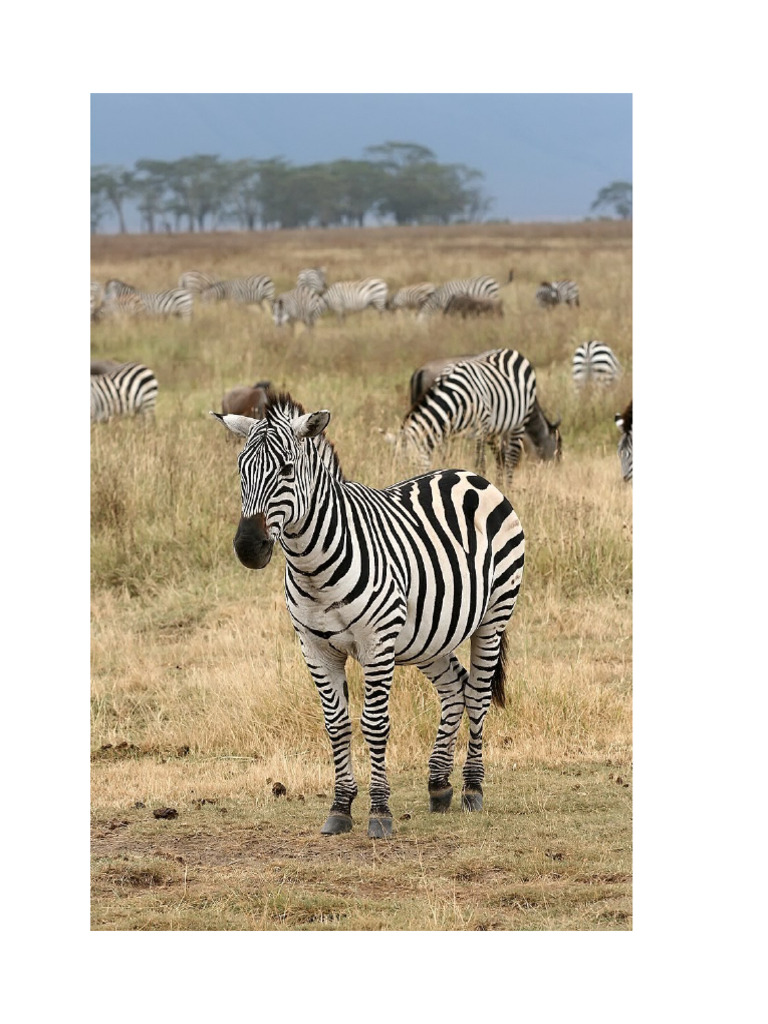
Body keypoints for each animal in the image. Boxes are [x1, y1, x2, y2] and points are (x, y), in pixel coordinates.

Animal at [211, 392, 525, 838]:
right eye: (242, 469)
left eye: (287, 469)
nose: (248, 548)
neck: (313, 567)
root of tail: (469, 474)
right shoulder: (315, 649)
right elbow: (336, 725)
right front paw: (341, 807)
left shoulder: (376, 642)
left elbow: (375, 724)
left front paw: (379, 811)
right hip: (428, 635)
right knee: (454, 687)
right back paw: (439, 785)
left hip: (494, 614)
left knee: (478, 694)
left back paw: (471, 789)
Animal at [388, 348, 561, 484]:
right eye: (559, 447)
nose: (556, 467)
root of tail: (512, 352)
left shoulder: (482, 429)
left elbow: (483, 462)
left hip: (512, 423)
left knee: (509, 457)